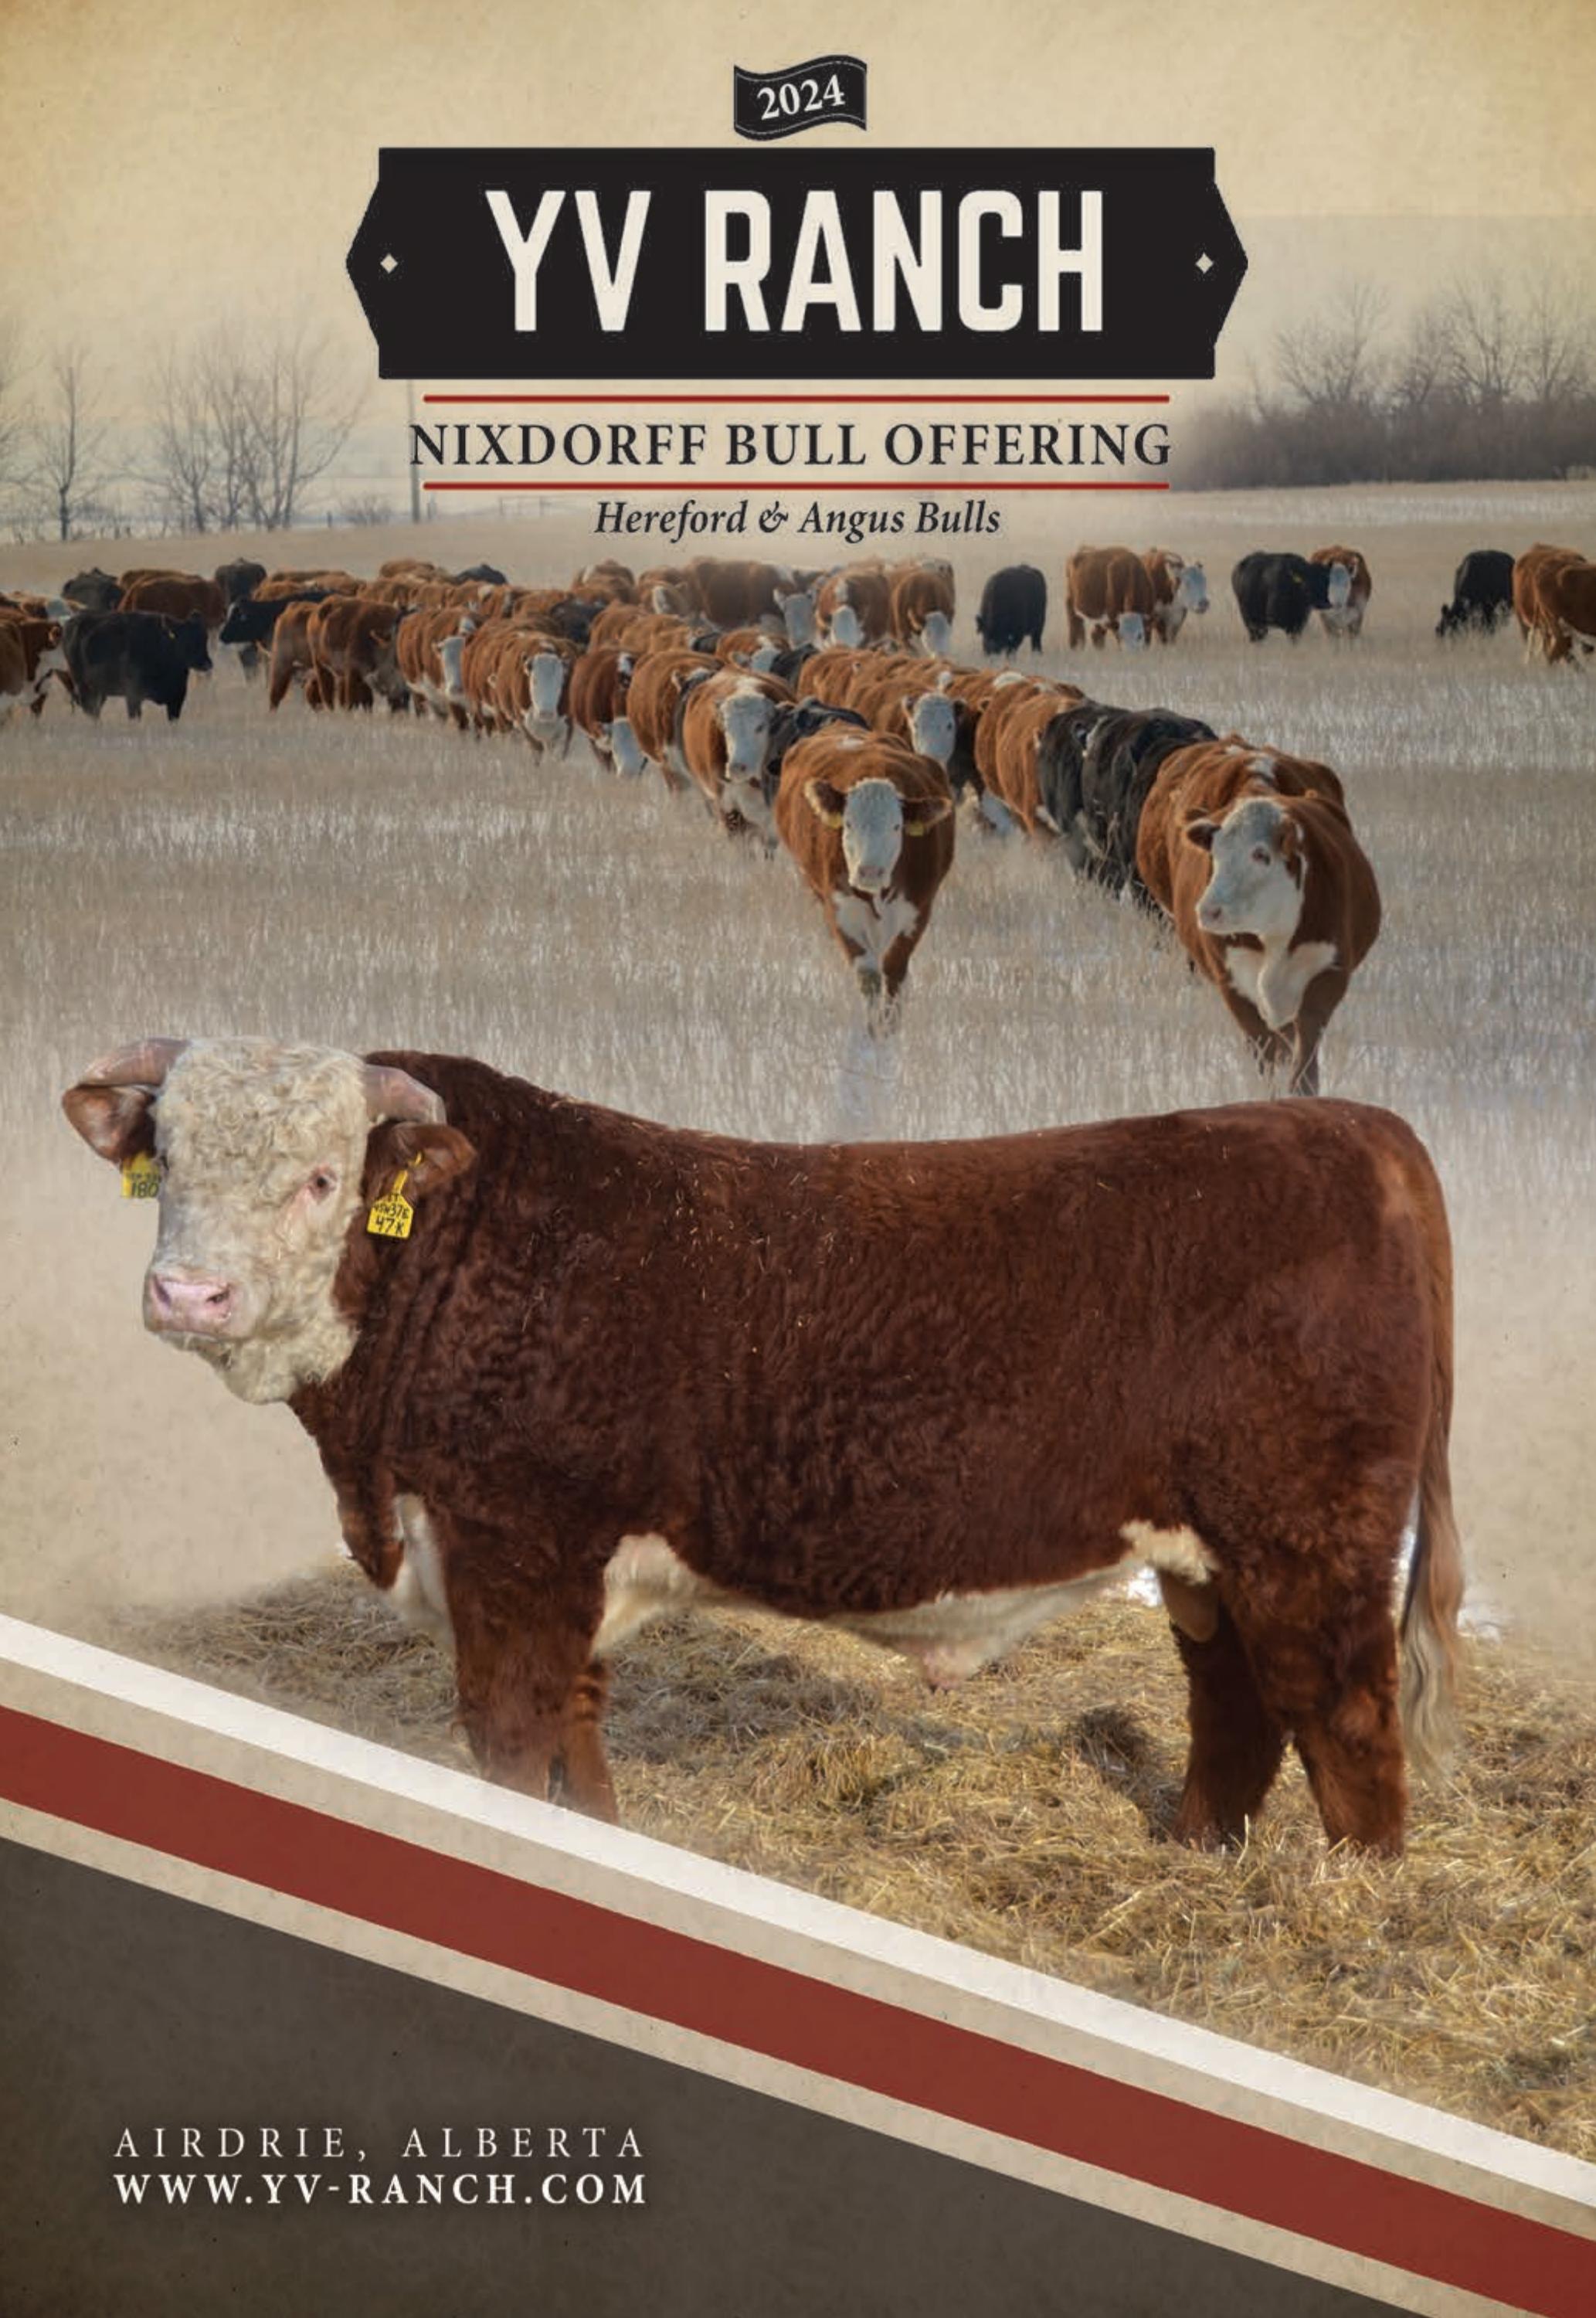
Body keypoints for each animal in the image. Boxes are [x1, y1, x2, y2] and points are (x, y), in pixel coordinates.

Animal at [62, 1036, 1464, 1854]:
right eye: (165, 1153)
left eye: (320, 1178)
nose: (189, 1294)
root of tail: (1352, 1127)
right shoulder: (558, 1568)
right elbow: (577, 1738)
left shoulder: (515, 1547)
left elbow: (511, 1738)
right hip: (1206, 1552)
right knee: (1234, 1704)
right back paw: (1189, 1858)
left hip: (1312, 1540)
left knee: (1345, 1724)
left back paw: (1345, 1911)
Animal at [63, 610, 211, 721]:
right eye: (186, 640)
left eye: (205, 638)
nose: (207, 664)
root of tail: (72, 623)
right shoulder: (133, 697)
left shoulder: (176, 700)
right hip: (84, 687)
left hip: (99, 692)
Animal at [775, 731, 955, 1023]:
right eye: (849, 824)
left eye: (896, 826)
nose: (869, 871)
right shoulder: (840, 909)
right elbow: (868, 975)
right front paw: (872, 1027)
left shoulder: (918, 910)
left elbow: (894, 970)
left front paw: (890, 1025)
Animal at [1064, 547, 1153, 649]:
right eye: (1121, 636)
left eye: (1139, 635)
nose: (1130, 652)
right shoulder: (1112, 616)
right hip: (1071, 605)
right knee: (1075, 628)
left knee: (1095, 635)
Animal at [1138, 740, 1375, 1094]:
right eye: (1215, 853)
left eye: (1261, 854)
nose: (1208, 910)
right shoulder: (1233, 982)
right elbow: (1266, 1052)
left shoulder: (1328, 972)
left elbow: (1305, 1058)